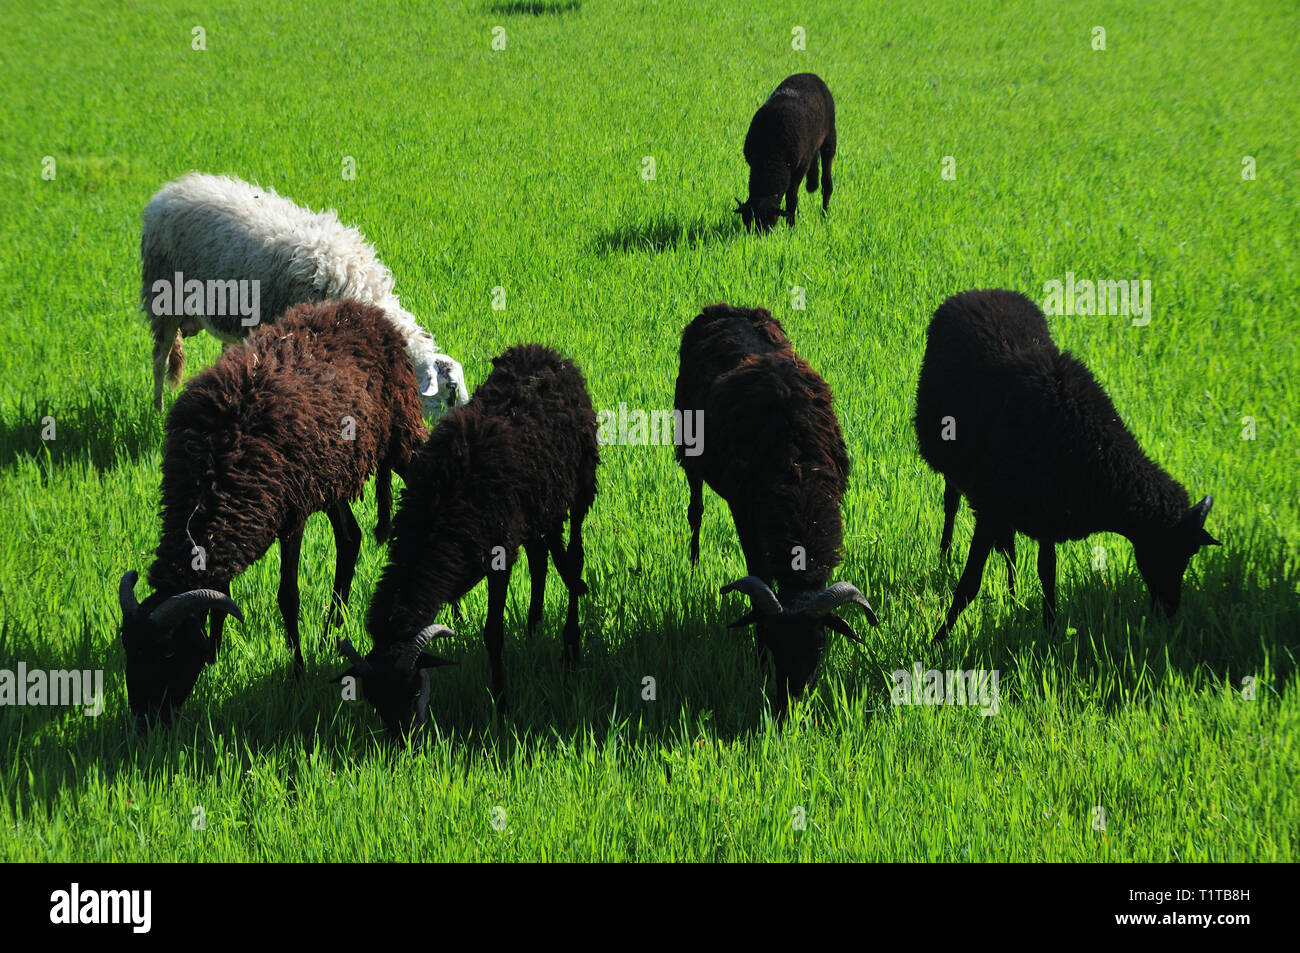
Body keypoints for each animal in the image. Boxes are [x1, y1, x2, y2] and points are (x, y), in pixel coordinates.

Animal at [117, 299, 428, 726]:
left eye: (166, 653)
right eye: (127, 647)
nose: (144, 722)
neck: (210, 475)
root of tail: (361, 309)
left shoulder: (290, 516)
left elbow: (288, 596)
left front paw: (297, 671)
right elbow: (221, 596)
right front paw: (215, 654)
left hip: (401, 434)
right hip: (330, 475)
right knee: (350, 538)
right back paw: (332, 628)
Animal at [335, 343, 600, 739]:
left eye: (413, 688)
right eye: (374, 701)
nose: (402, 744)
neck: (439, 510)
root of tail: (542, 352)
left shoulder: (500, 556)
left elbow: (493, 634)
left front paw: (502, 705)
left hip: (581, 487)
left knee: (574, 557)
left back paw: (570, 647)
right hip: (538, 508)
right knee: (542, 557)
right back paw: (534, 628)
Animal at [673, 304, 877, 715]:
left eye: (820, 643)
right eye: (769, 639)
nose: (790, 705)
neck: (797, 472)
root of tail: (724, 307)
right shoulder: (744, 511)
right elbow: (757, 567)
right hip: (688, 451)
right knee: (695, 509)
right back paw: (693, 562)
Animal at [734, 73, 836, 231]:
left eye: (769, 221)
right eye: (748, 222)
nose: (759, 235)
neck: (770, 157)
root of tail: (810, 74)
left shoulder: (800, 167)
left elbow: (791, 198)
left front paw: (791, 226)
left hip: (829, 137)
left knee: (827, 183)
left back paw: (824, 215)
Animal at [914, 289, 1221, 641]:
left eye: (1191, 552)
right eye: (1172, 549)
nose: (1170, 609)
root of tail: (979, 292)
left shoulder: (1045, 516)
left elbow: (1047, 574)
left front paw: (1049, 634)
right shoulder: (992, 510)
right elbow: (969, 585)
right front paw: (937, 641)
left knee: (1008, 546)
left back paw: (1013, 596)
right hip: (952, 459)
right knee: (952, 503)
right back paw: (944, 556)